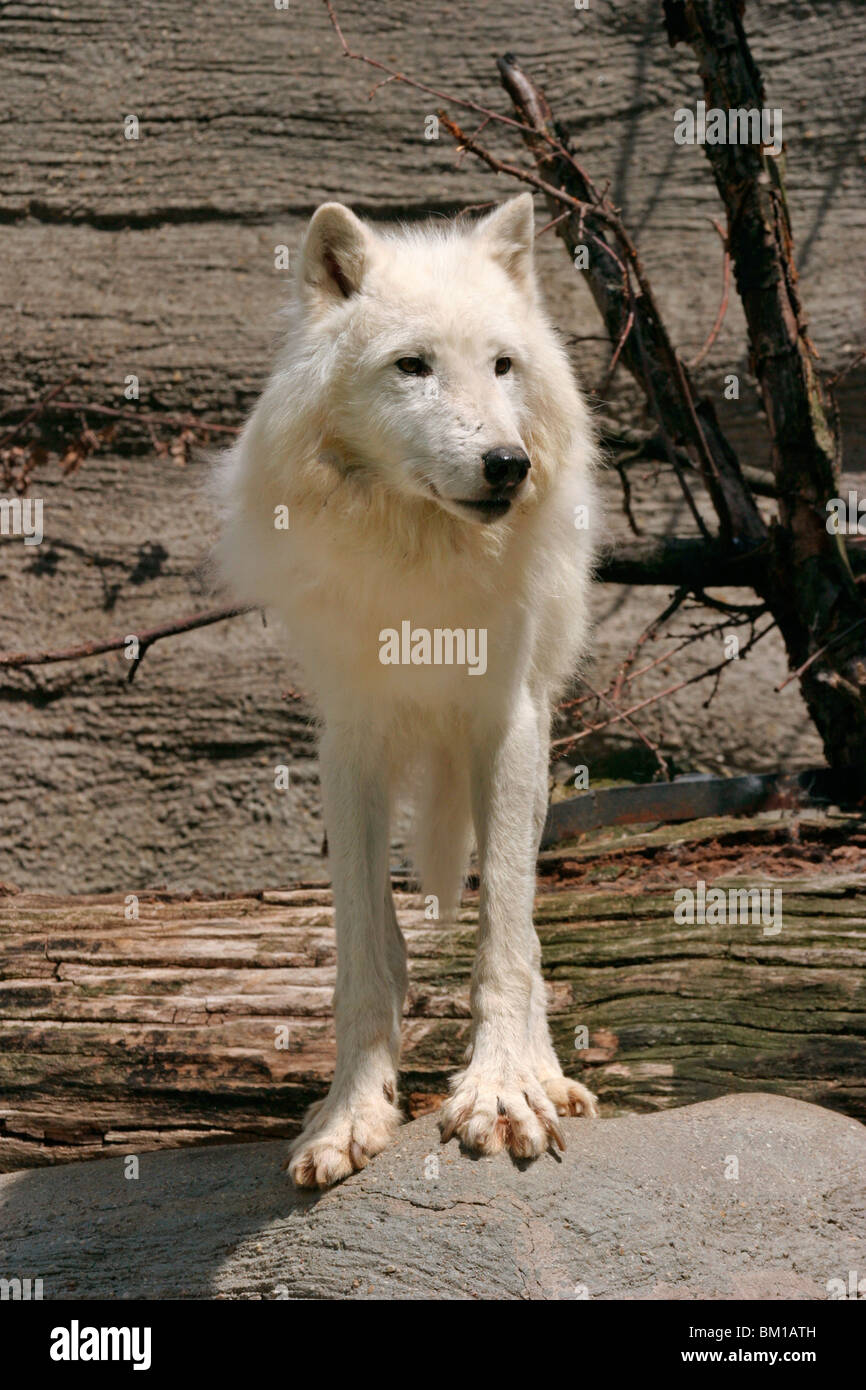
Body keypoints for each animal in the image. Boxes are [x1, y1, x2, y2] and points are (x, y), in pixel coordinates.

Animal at [214, 193, 599, 1187]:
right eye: (413, 366)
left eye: (501, 365)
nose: (507, 464)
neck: (424, 561)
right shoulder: (351, 739)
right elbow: (361, 953)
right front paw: (349, 1115)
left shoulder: (506, 723)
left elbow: (506, 940)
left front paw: (504, 1094)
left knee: (526, 933)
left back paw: (549, 1076)